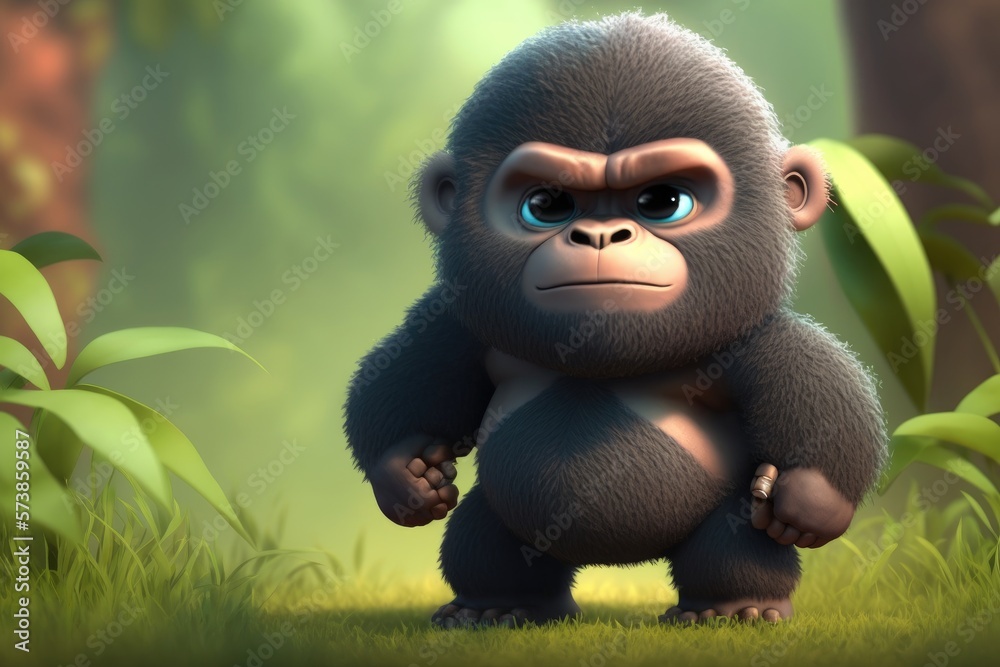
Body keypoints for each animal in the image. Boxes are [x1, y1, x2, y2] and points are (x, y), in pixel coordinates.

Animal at [343, 12, 886, 628]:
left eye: (664, 201)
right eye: (546, 204)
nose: (601, 236)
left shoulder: (747, 338)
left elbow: (811, 384)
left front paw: (811, 498)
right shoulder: (461, 324)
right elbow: (405, 380)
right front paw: (405, 473)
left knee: (730, 541)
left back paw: (734, 606)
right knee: (485, 541)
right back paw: (500, 604)